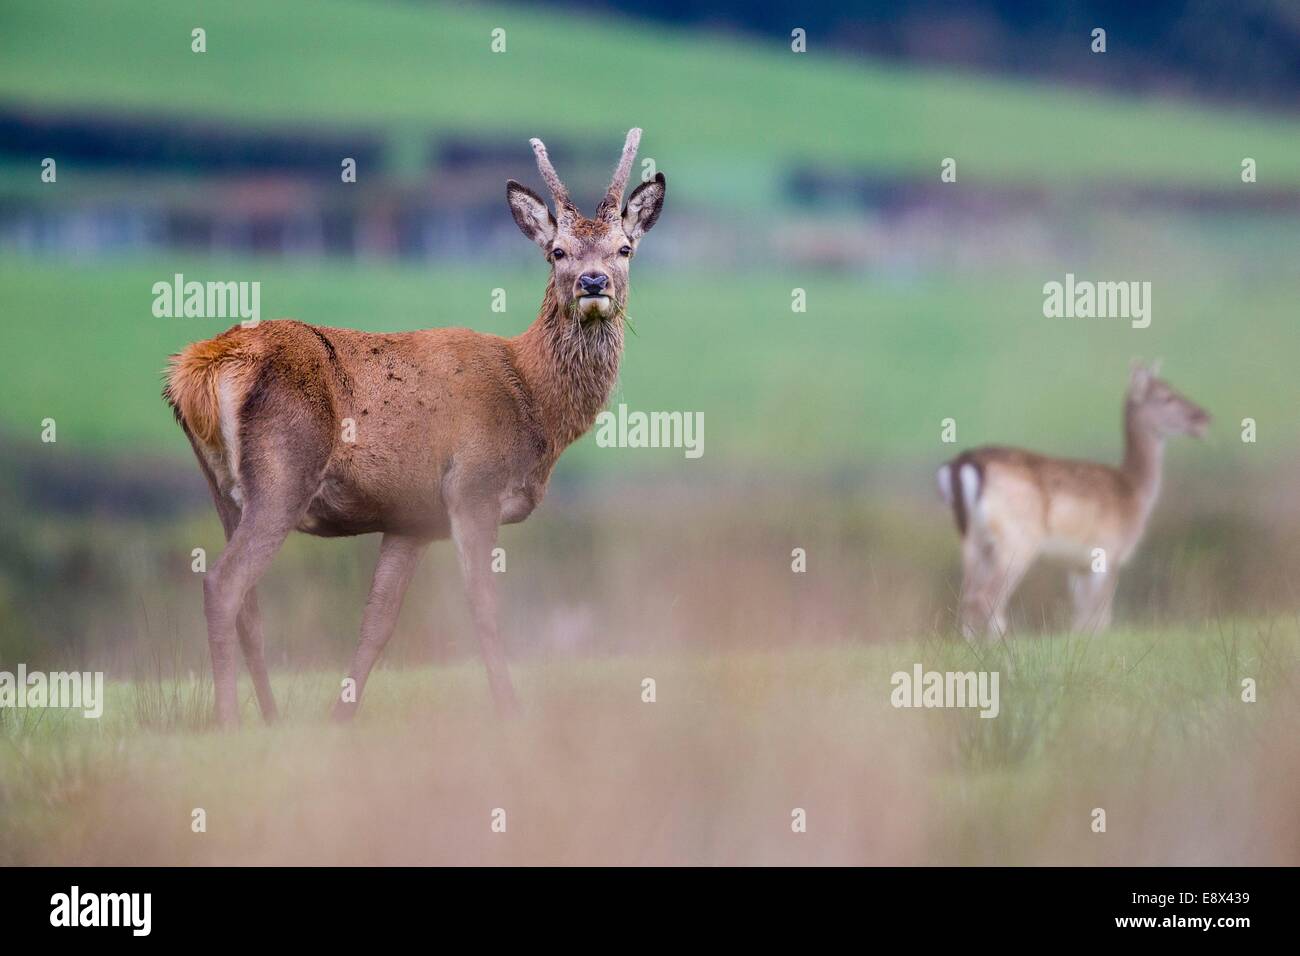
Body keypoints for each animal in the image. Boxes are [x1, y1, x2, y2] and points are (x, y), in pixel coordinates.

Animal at [163, 129, 665, 726]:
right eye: (557, 251)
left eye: (624, 248)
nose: (593, 282)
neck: (533, 398)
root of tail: (198, 367)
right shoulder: (473, 486)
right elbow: (483, 606)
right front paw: (511, 711)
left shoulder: (411, 519)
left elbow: (378, 623)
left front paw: (340, 717)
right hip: (284, 470)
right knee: (223, 583)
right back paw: (229, 721)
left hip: (221, 487)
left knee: (249, 602)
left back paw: (272, 718)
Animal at [937, 361, 1210, 639]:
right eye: (1167, 396)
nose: (1203, 417)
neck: (1135, 492)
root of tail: (963, 463)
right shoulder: (1109, 551)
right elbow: (1099, 616)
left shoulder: (1080, 564)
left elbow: (1082, 617)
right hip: (1016, 541)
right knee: (986, 598)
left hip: (973, 541)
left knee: (968, 597)